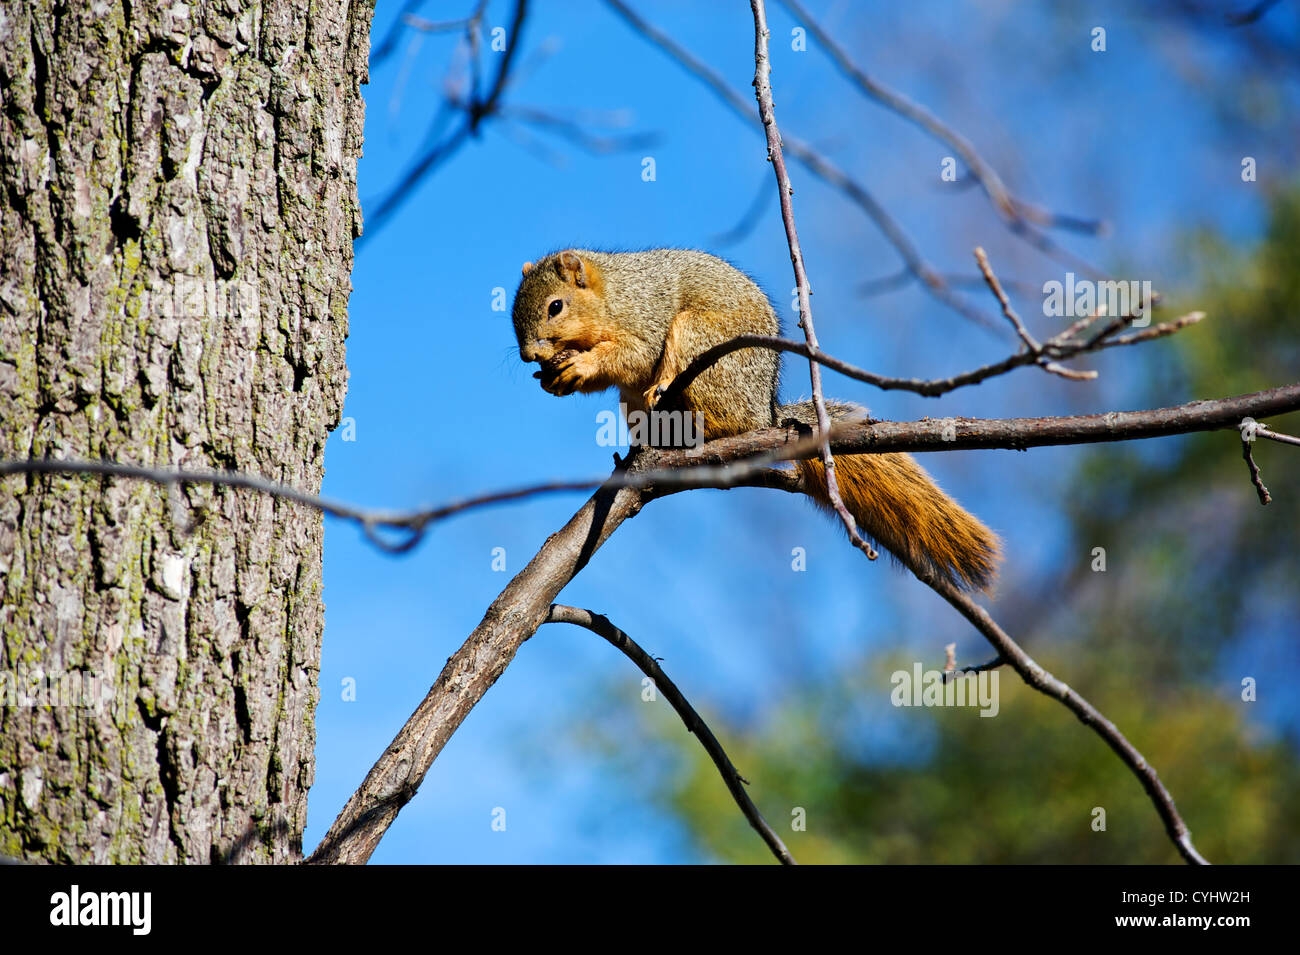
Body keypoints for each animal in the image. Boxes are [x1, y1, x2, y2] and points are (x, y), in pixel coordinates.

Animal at [511, 248, 1000, 591]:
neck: (611, 295)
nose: (529, 356)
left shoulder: (646, 317)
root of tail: (766, 410)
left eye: (555, 306)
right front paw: (553, 378)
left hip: (703, 343)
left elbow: (632, 356)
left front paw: (579, 365)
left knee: (717, 409)